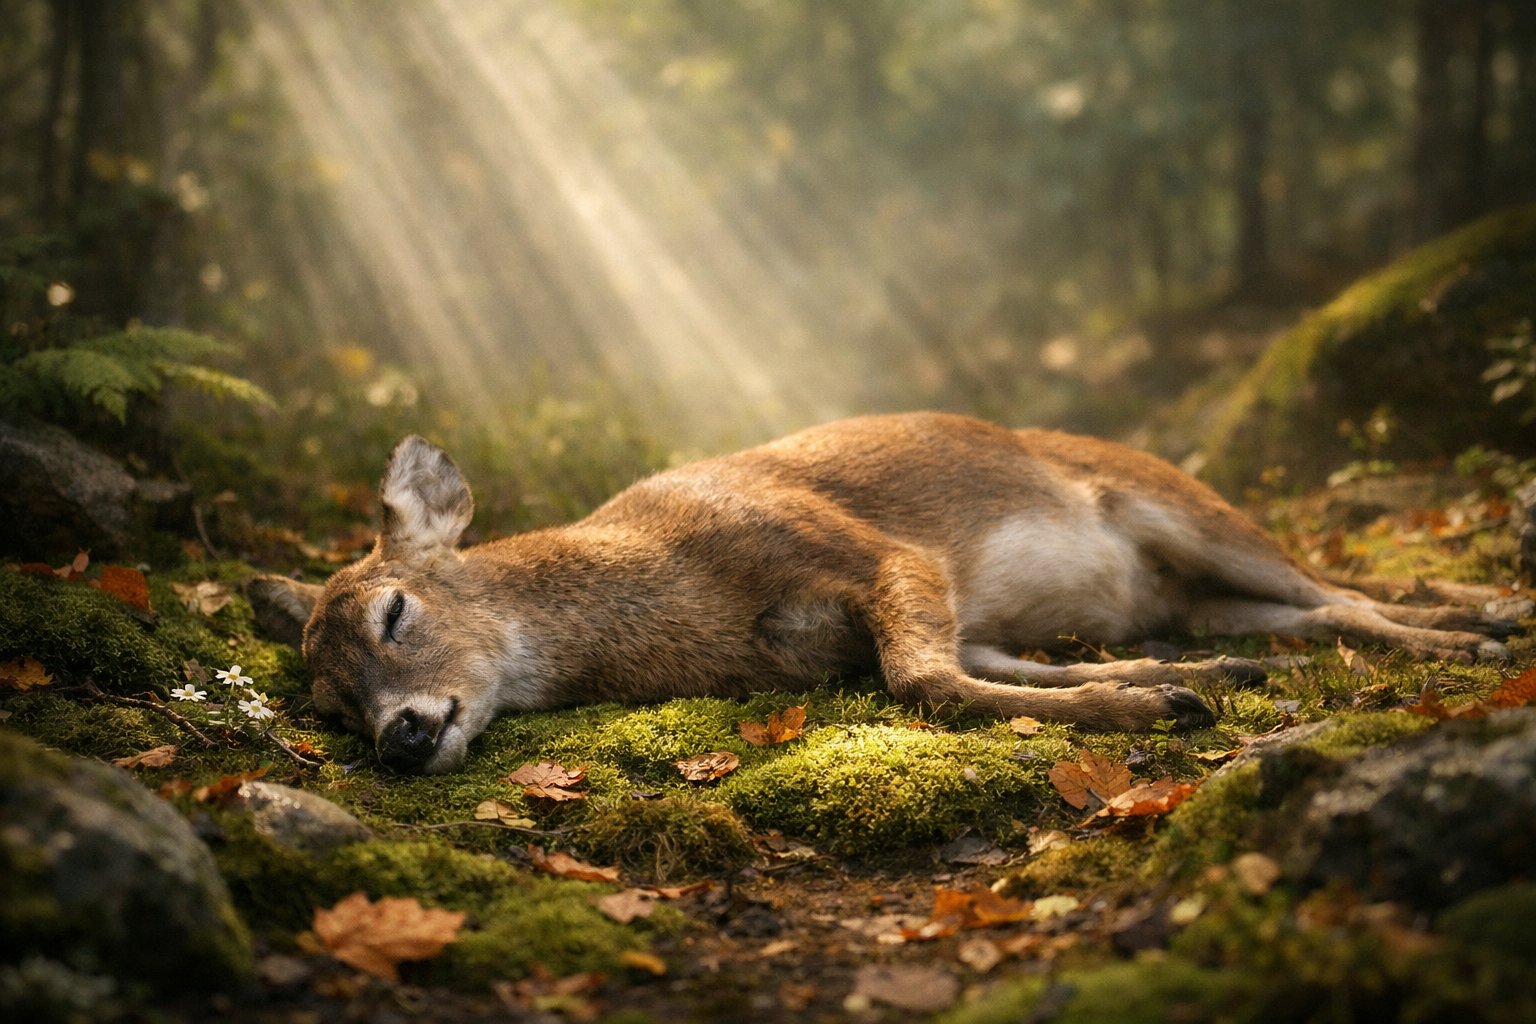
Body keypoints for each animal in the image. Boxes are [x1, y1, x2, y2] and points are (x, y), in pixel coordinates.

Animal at [271, 412, 1522, 774]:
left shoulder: (878, 549)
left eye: (395, 612)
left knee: (1341, 590)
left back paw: (1486, 629)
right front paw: (1171, 691)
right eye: (327, 701)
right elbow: (962, 671)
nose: (400, 735)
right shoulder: (936, 606)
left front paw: (1154, 705)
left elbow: (924, 678)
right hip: (1193, 582)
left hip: (1185, 505)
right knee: (1309, 605)